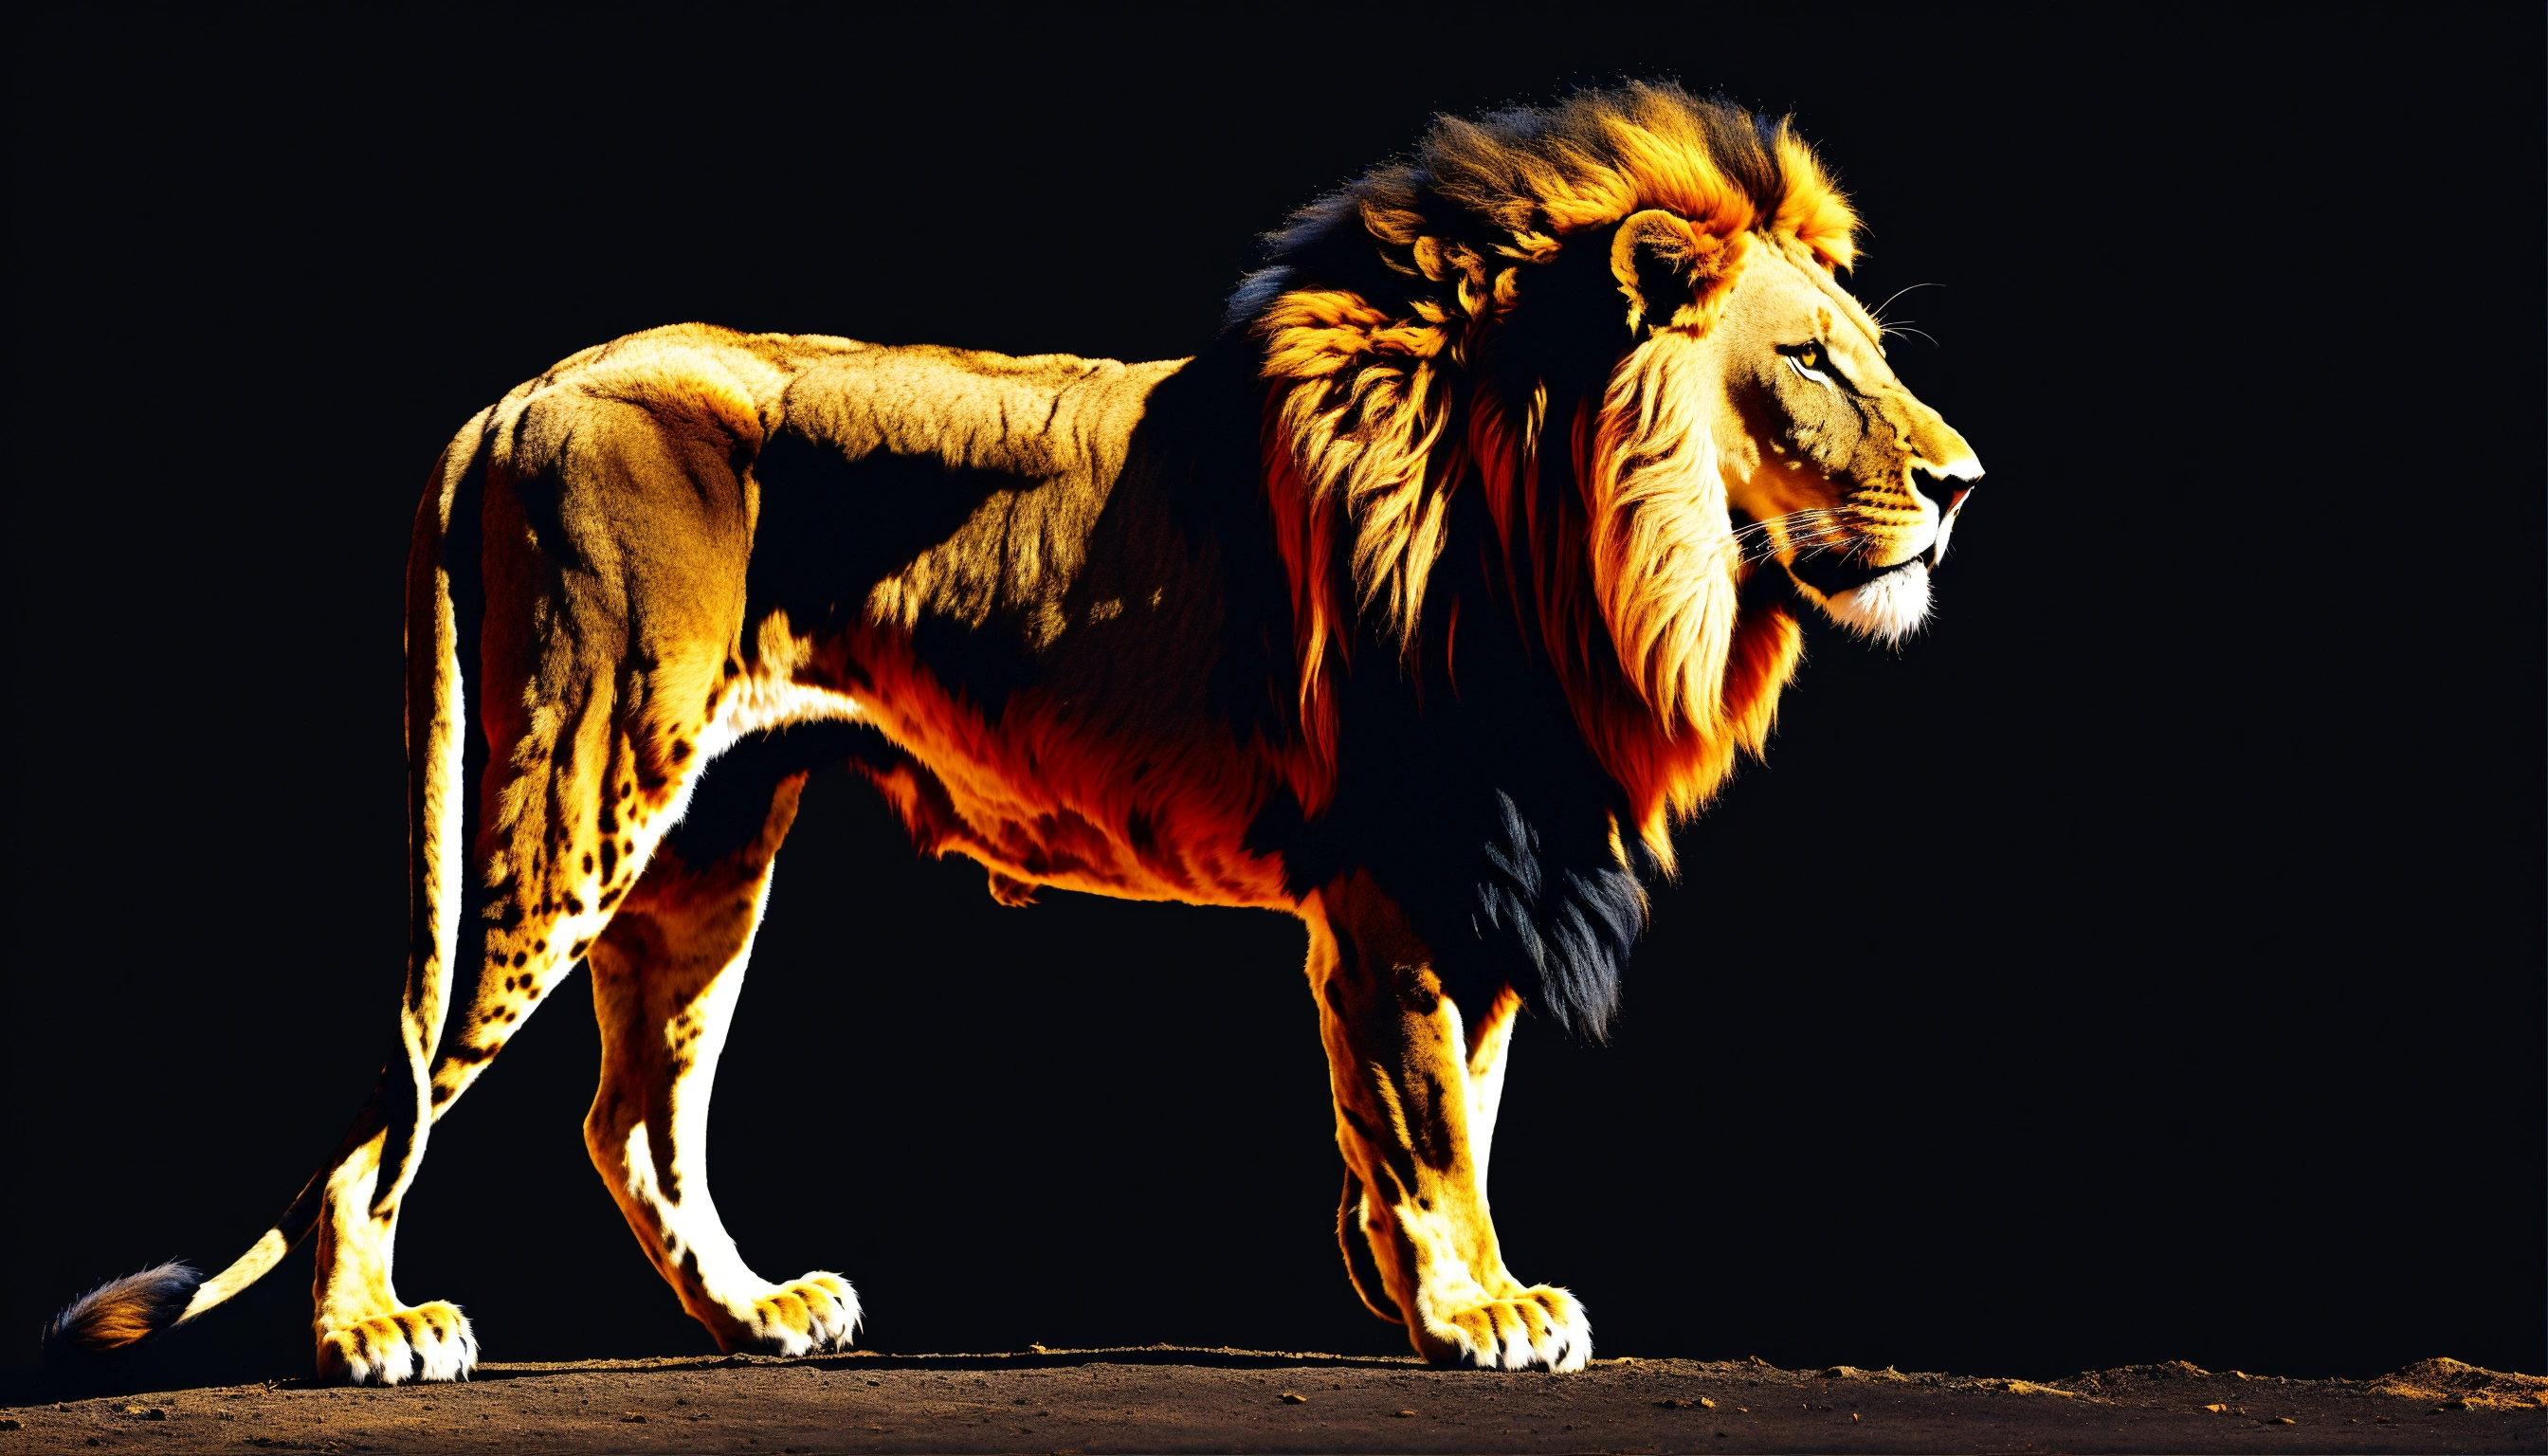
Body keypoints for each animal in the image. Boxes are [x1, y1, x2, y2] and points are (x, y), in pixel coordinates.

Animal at [48, 82, 1978, 1381]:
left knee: (633, 1115)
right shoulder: (1408, 867)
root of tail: (518, 394)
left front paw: (1411, 1294)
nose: (1964, 486)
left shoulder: (1488, 856)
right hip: (578, 786)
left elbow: (1454, 1107)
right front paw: (1478, 1305)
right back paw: (373, 1333)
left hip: (708, 836)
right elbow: (1436, 1113)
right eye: (1812, 362)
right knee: (392, 1104)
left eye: (1865, 349)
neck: (1604, 542)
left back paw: (760, 1316)